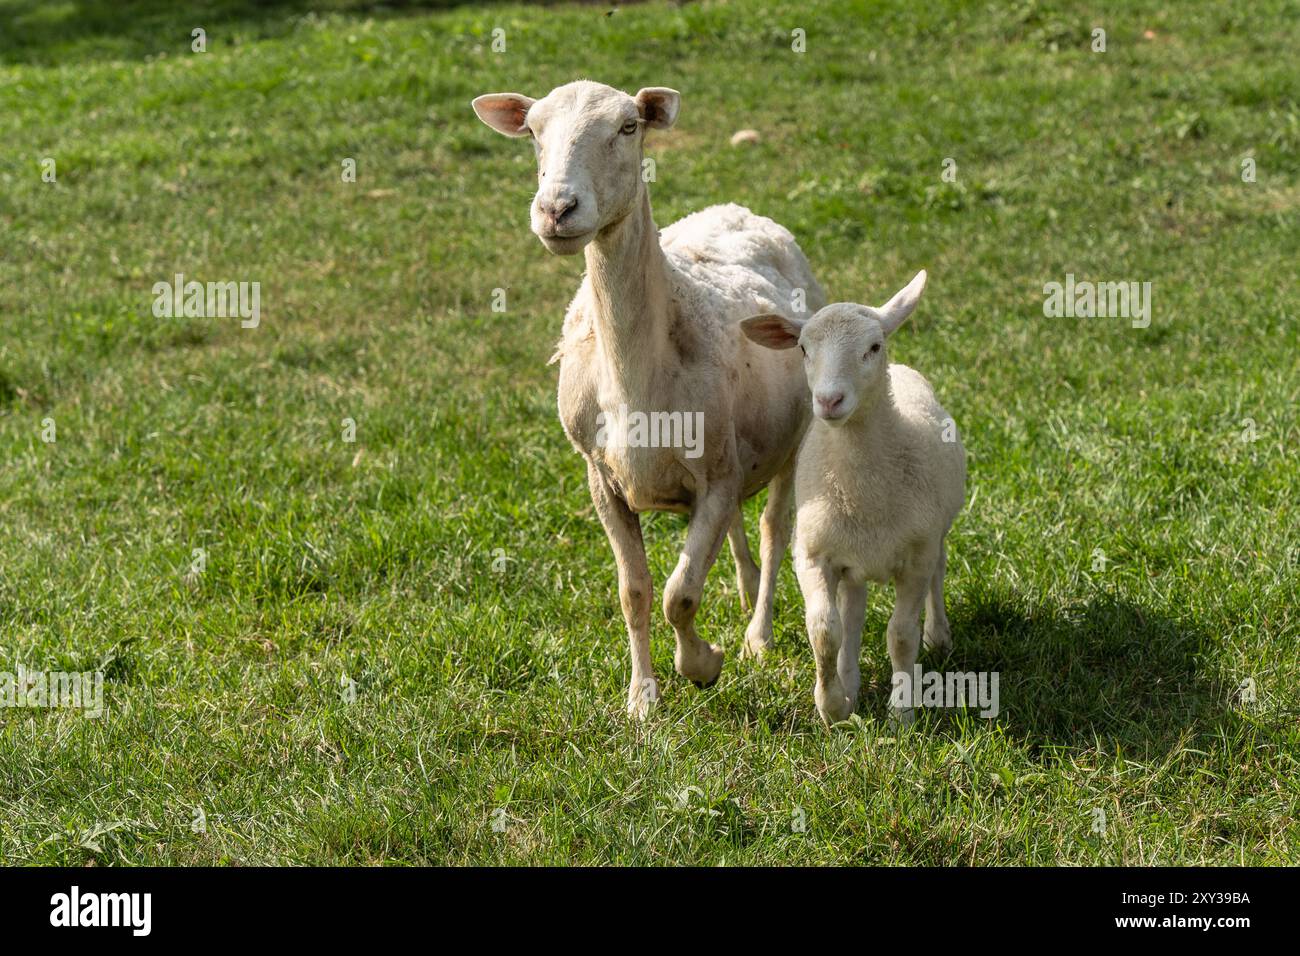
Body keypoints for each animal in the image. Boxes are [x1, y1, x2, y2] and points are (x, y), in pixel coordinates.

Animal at [472, 81, 826, 717]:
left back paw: (757, 635)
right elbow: (634, 592)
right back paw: (742, 592)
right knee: (739, 528)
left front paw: (704, 663)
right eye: (533, 131)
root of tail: (737, 210)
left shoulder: (715, 478)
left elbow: (679, 594)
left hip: (794, 436)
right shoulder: (603, 478)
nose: (556, 210)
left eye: (628, 127)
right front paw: (643, 696)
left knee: (772, 529)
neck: (634, 379)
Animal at [740, 271, 966, 725]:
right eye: (803, 349)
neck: (863, 491)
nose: (829, 400)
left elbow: (901, 634)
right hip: (852, 559)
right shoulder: (814, 555)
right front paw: (833, 707)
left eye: (873, 347)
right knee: (853, 613)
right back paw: (850, 681)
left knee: (939, 570)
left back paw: (938, 635)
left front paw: (902, 713)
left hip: (934, 531)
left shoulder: (916, 556)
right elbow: (826, 631)